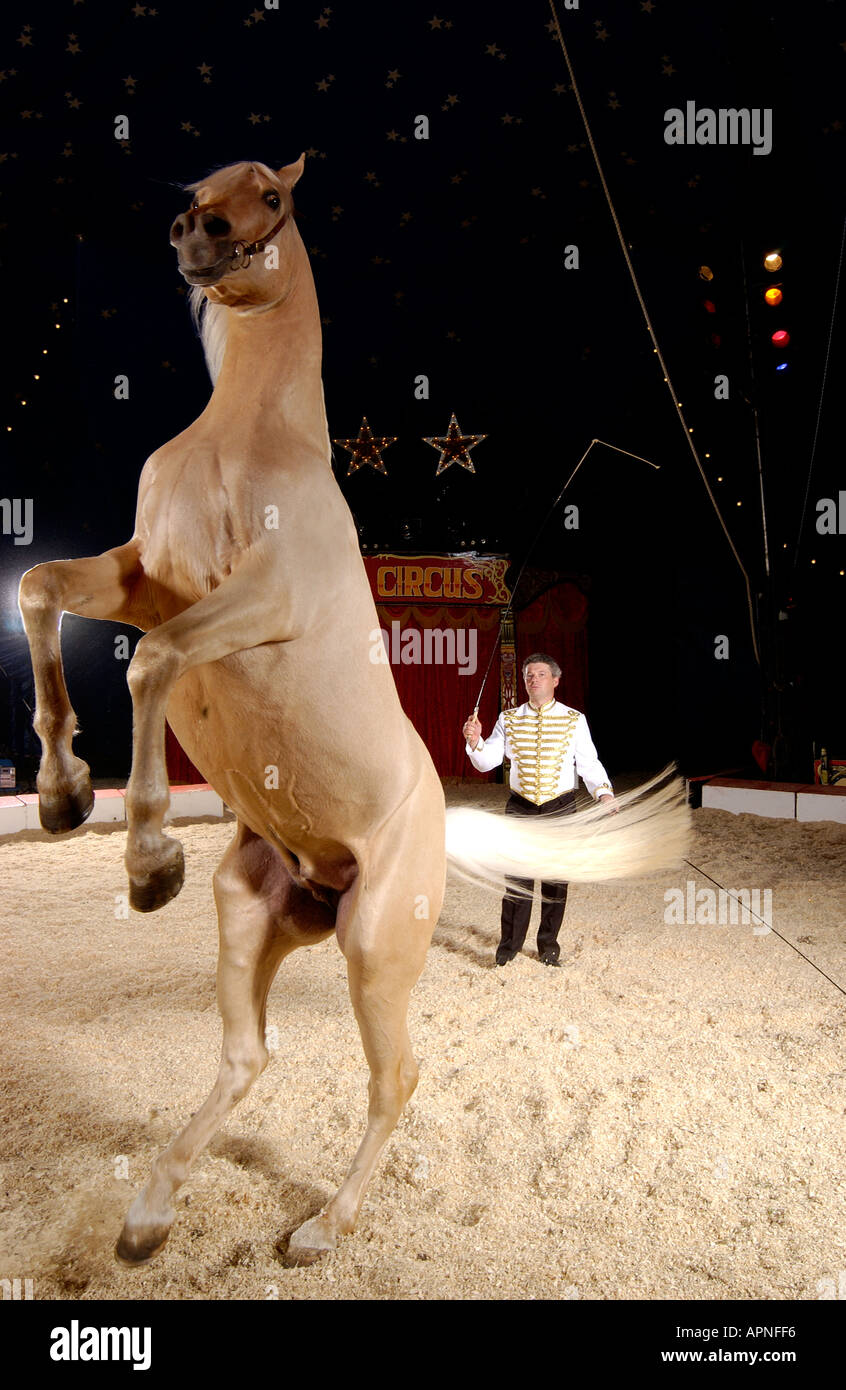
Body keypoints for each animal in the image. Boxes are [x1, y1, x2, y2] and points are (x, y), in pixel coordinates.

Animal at [18, 157, 690, 1266]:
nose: (195, 233)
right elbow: (41, 591)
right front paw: (65, 796)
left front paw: (146, 858)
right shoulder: (140, 574)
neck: (242, 442)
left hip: (374, 946)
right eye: (204, 184)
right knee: (248, 1056)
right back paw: (149, 1217)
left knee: (395, 1076)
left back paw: (320, 1229)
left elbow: (151, 664)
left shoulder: (257, 602)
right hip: (252, 912)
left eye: (271, 196)